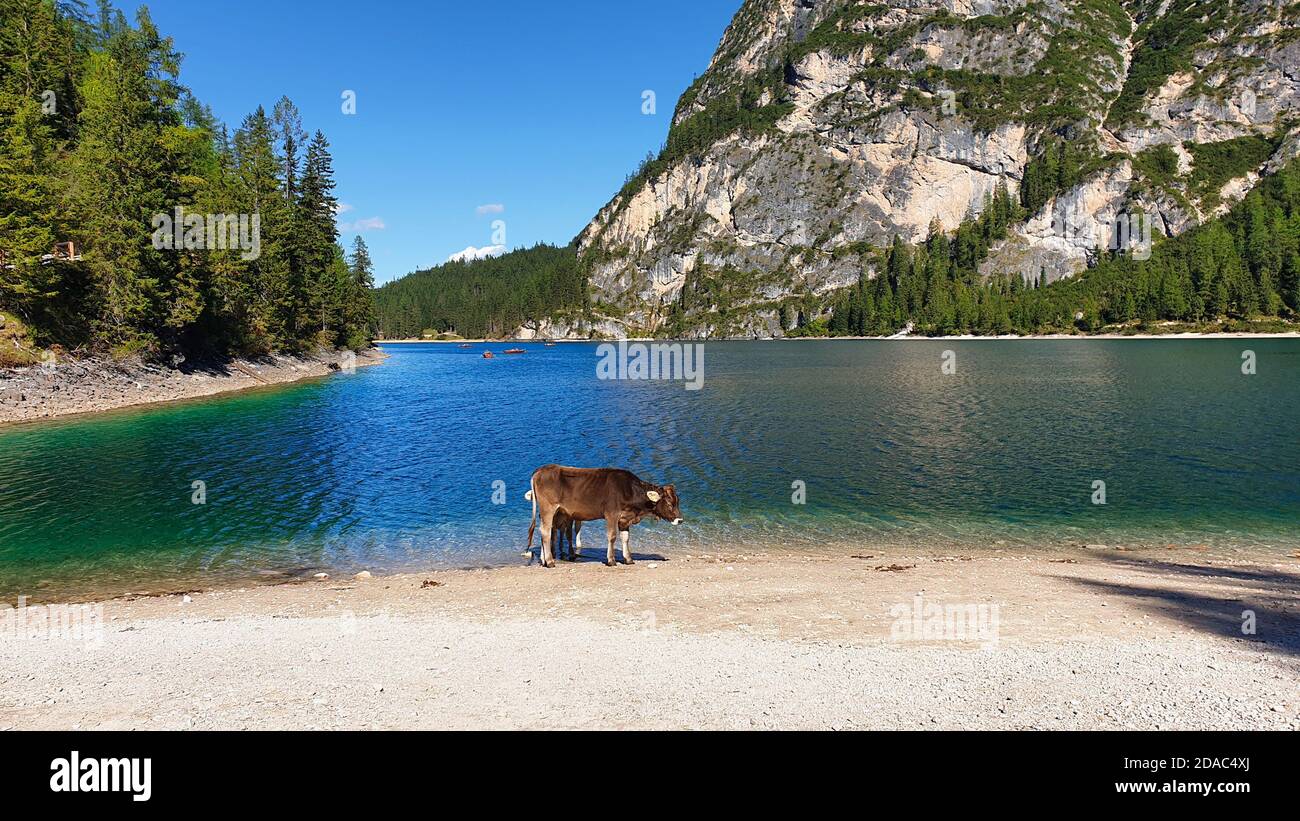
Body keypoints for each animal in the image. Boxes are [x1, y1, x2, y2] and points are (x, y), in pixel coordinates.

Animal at [525, 465, 682, 568]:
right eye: (669, 503)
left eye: (677, 502)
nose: (680, 520)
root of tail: (541, 469)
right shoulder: (612, 514)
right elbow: (612, 536)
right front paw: (611, 560)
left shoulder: (625, 519)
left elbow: (625, 538)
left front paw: (628, 559)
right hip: (548, 509)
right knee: (546, 532)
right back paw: (550, 562)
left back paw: (544, 560)